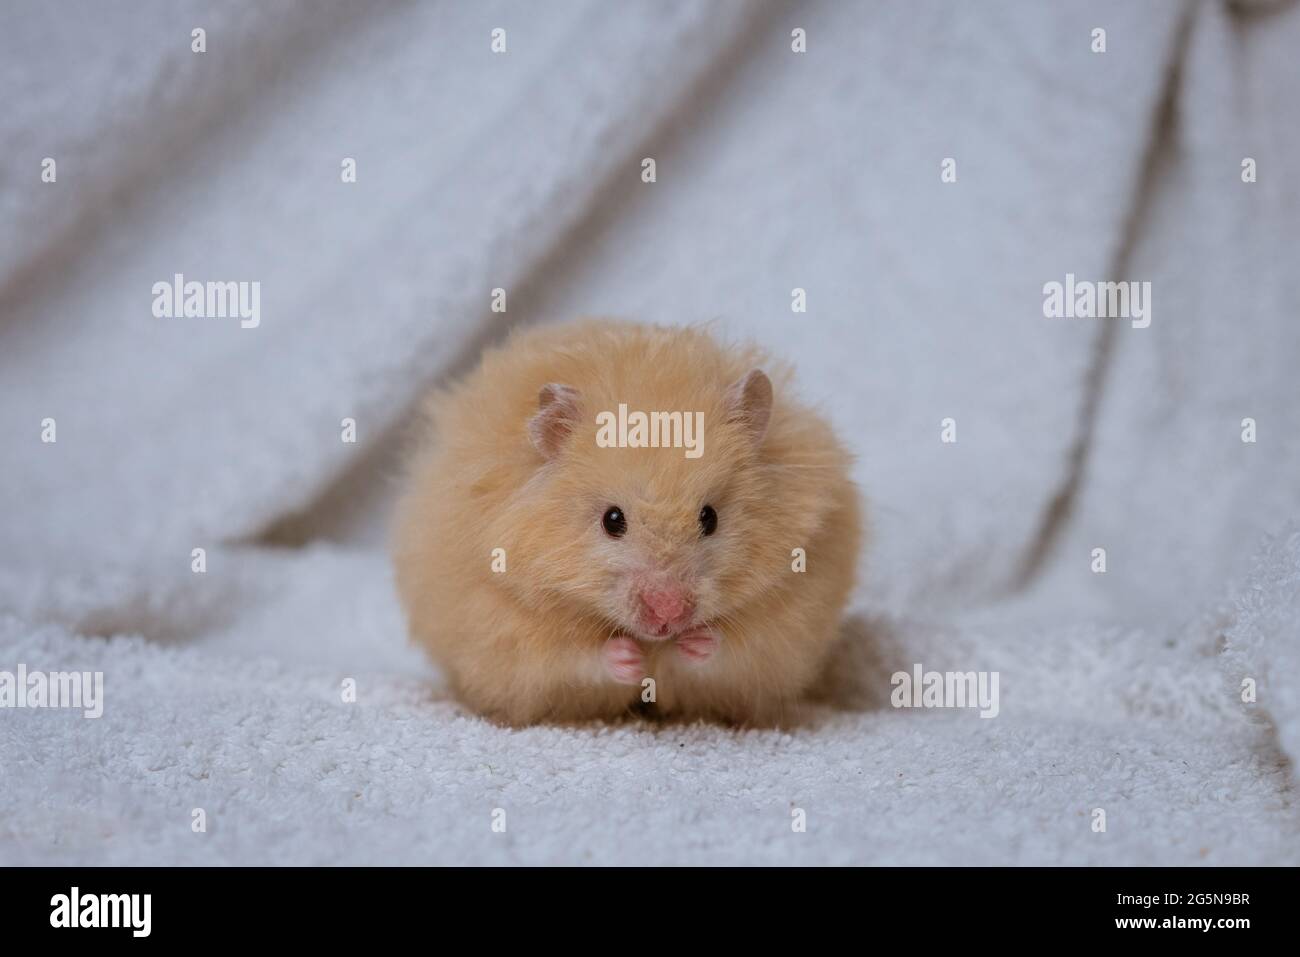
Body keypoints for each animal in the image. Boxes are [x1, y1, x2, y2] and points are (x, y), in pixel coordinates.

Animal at [393, 319, 861, 726]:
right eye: (612, 520)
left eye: (709, 518)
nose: (668, 615)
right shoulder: (505, 627)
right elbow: (573, 656)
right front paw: (629, 658)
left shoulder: (792, 613)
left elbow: (734, 646)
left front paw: (691, 644)